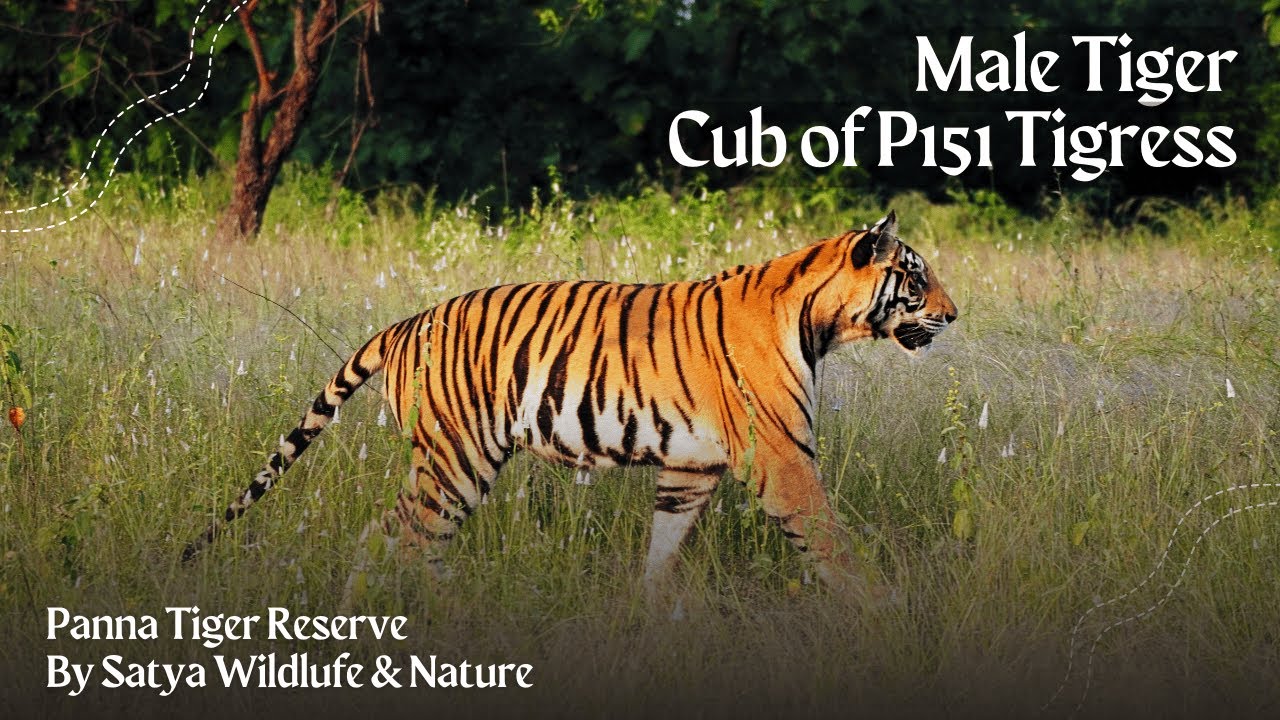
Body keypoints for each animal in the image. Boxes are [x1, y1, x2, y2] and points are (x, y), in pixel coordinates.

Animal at [183, 210, 958, 602]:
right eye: (915, 277)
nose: (955, 315)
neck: (823, 324)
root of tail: (405, 322)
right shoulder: (783, 459)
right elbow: (833, 546)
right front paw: (883, 616)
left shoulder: (690, 471)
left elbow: (662, 554)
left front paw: (649, 623)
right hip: (457, 459)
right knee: (400, 537)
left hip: (450, 464)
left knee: (404, 539)